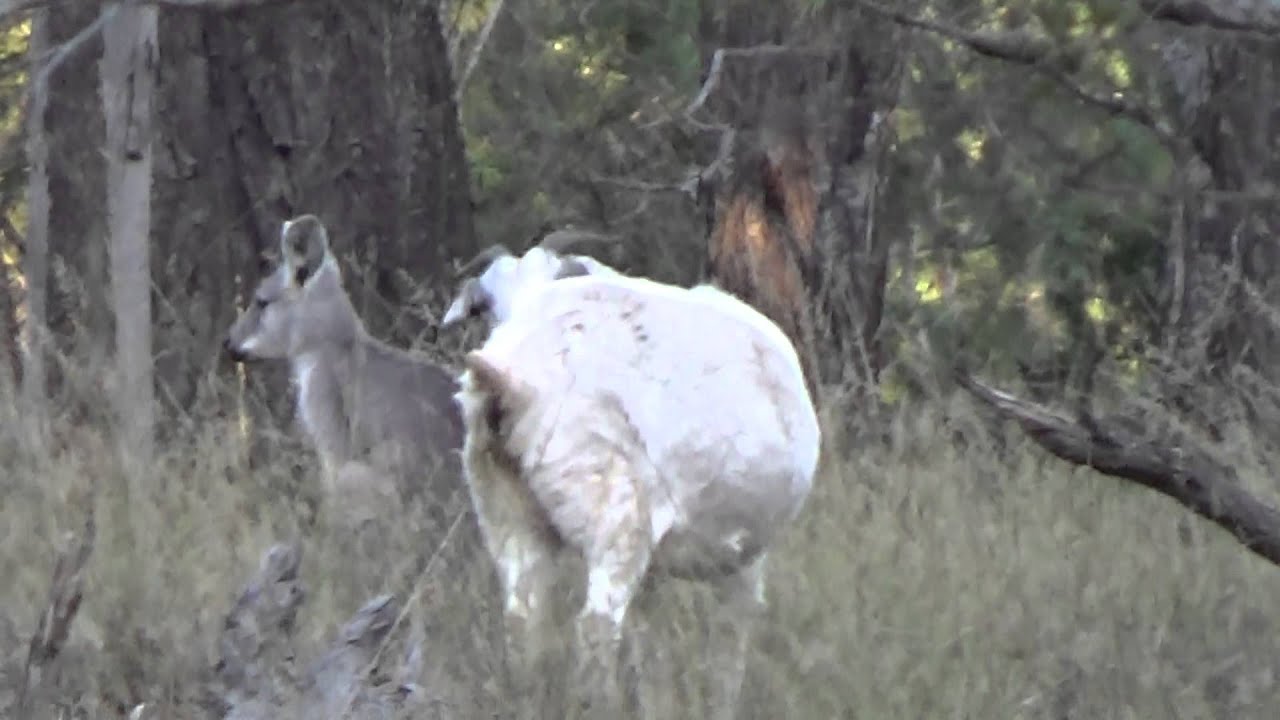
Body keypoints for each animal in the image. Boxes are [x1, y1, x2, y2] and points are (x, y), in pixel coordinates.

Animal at [447, 248, 821, 719]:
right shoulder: (746, 553)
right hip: (612, 505)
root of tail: (511, 381)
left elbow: (653, 650)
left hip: (502, 504)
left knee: (522, 617)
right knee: (597, 626)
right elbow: (729, 646)